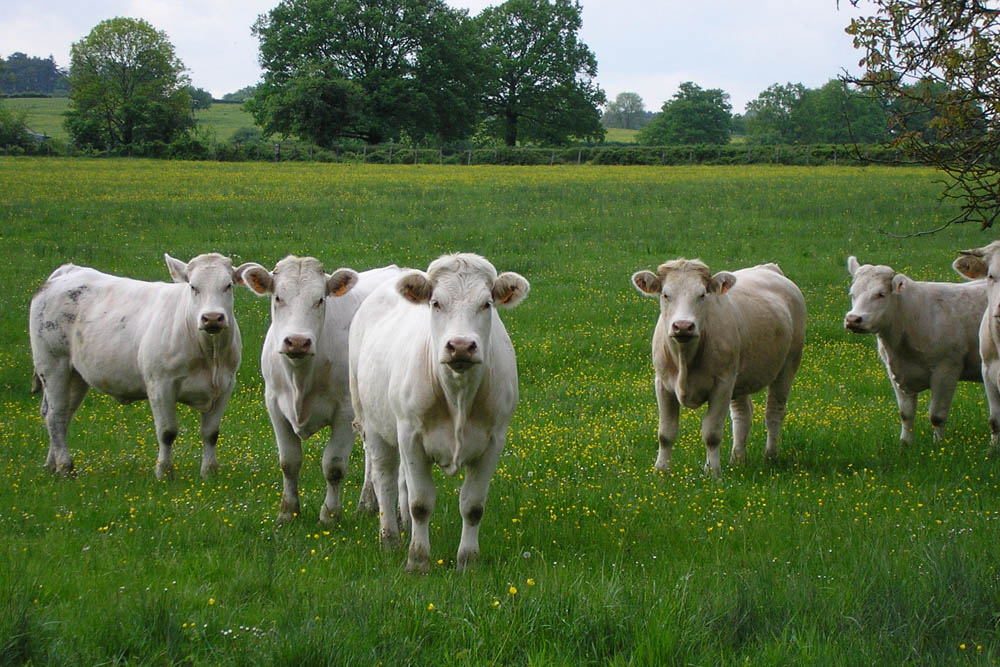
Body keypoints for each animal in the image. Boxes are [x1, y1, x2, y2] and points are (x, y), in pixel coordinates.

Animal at [29, 253, 248, 479]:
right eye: (193, 286)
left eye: (228, 285)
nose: (212, 317)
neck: (209, 355)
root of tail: (69, 271)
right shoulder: (160, 384)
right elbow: (167, 432)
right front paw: (164, 472)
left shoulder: (225, 385)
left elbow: (211, 433)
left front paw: (209, 472)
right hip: (52, 364)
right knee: (55, 415)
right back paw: (64, 466)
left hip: (76, 374)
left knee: (62, 413)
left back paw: (52, 464)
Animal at [237, 256, 400, 524]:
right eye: (278, 297)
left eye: (320, 299)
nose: (297, 341)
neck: (300, 378)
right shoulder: (274, 406)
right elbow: (289, 461)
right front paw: (288, 512)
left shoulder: (345, 412)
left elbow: (334, 466)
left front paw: (330, 515)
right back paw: (367, 505)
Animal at [349, 253, 529, 573]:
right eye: (436, 303)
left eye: (487, 303)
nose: (461, 346)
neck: (458, 395)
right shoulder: (411, 436)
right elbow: (420, 504)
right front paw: (417, 561)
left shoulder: (494, 441)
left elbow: (473, 506)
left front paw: (467, 561)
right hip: (374, 425)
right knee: (384, 480)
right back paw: (390, 538)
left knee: (401, 483)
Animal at [631, 259, 806, 476]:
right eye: (665, 294)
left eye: (702, 295)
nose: (682, 326)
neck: (685, 358)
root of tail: (768, 268)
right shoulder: (662, 384)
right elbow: (665, 433)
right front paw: (661, 470)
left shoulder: (722, 385)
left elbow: (712, 433)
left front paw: (713, 472)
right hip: (739, 378)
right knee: (742, 415)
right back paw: (737, 460)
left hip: (788, 364)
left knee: (774, 412)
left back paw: (770, 457)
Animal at [846, 256, 985, 445]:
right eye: (853, 294)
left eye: (881, 294)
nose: (853, 319)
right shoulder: (895, 373)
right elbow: (906, 414)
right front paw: (905, 445)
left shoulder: (946, 370)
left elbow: (937, 416)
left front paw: (938, 445)